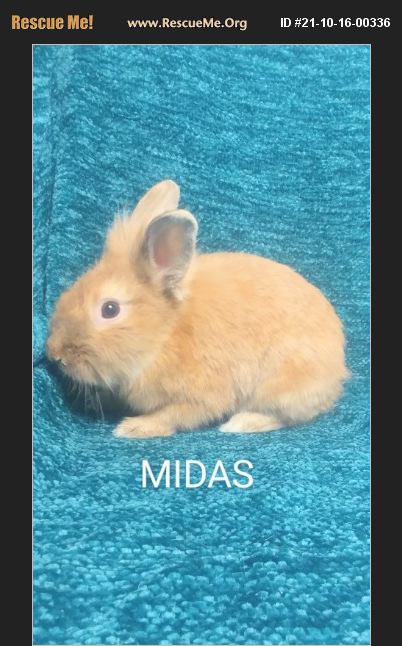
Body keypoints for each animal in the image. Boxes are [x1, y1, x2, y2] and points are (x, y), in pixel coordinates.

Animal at [46, 180, 349, 439]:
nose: (54, 353)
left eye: (109, 309)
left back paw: (242, 423)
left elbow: (174, 415)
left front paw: (134, 428)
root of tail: (338, 369)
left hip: (280, 384)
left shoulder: (201, 397)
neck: (164, 336)